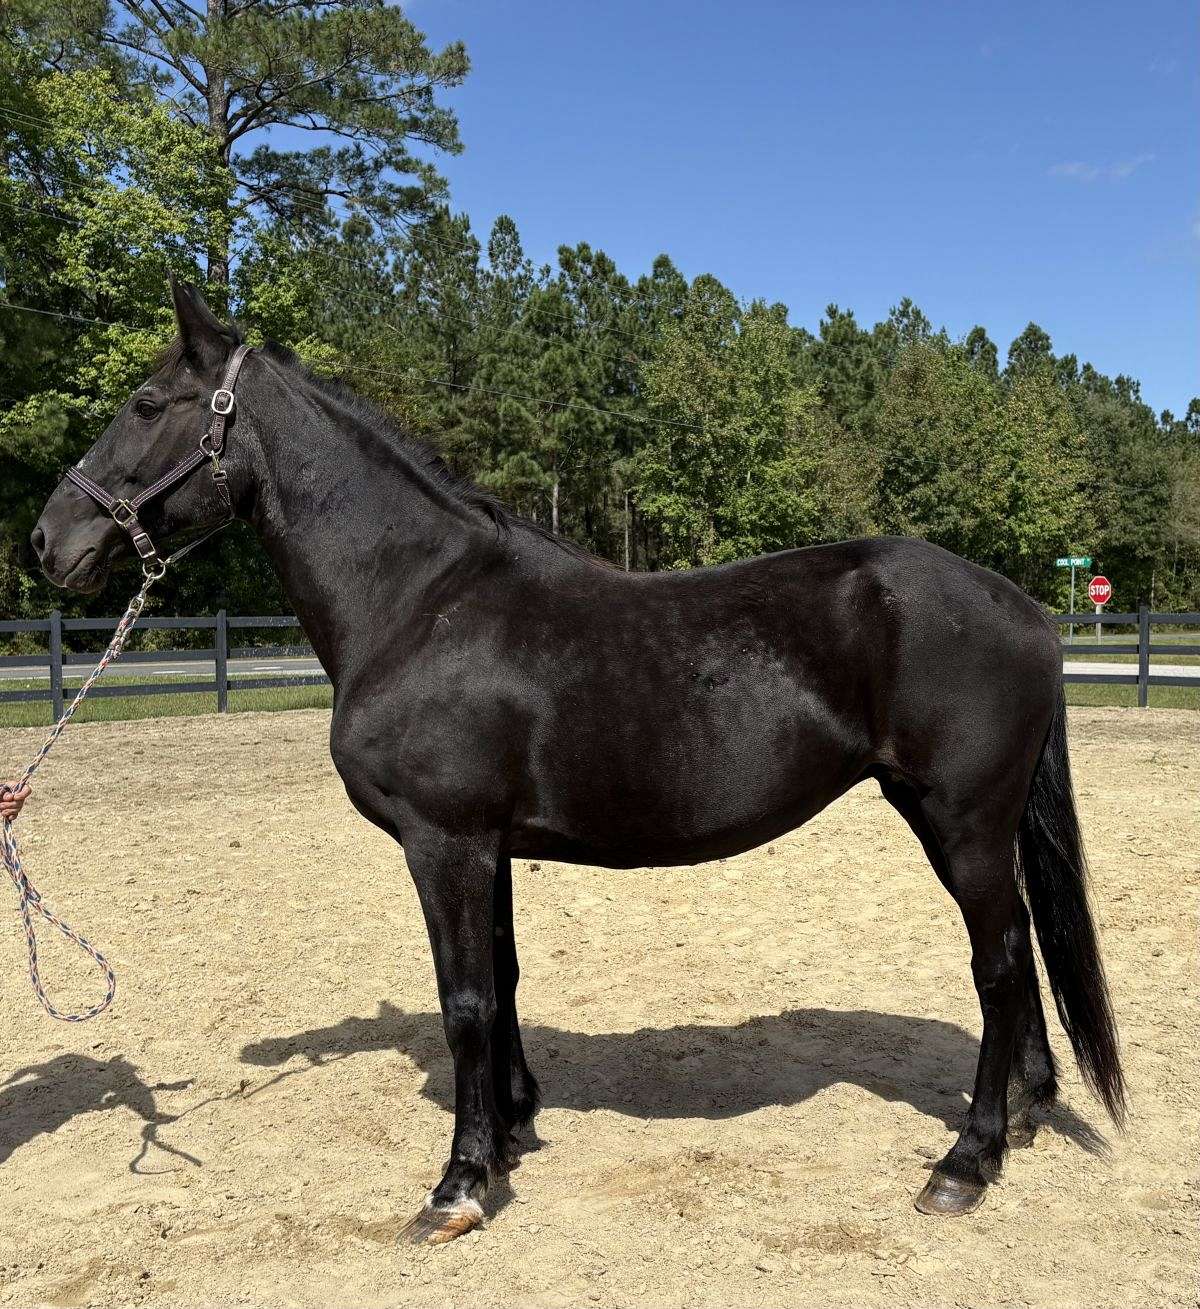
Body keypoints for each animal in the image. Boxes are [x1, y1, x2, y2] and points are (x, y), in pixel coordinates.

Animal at [30, 281, 1124, 1243]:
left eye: (147, 405)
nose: (48, 541)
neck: (417, 598)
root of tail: (1023, 607)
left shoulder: (444, 841)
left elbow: (465, 1001)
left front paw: (459, 1183)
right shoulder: (488, 845)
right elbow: (504, 978)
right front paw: (512, 1127)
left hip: (961, 821)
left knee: (998, 961)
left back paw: (967, 1160)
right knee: (1021, 952)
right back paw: (1021, 1116)